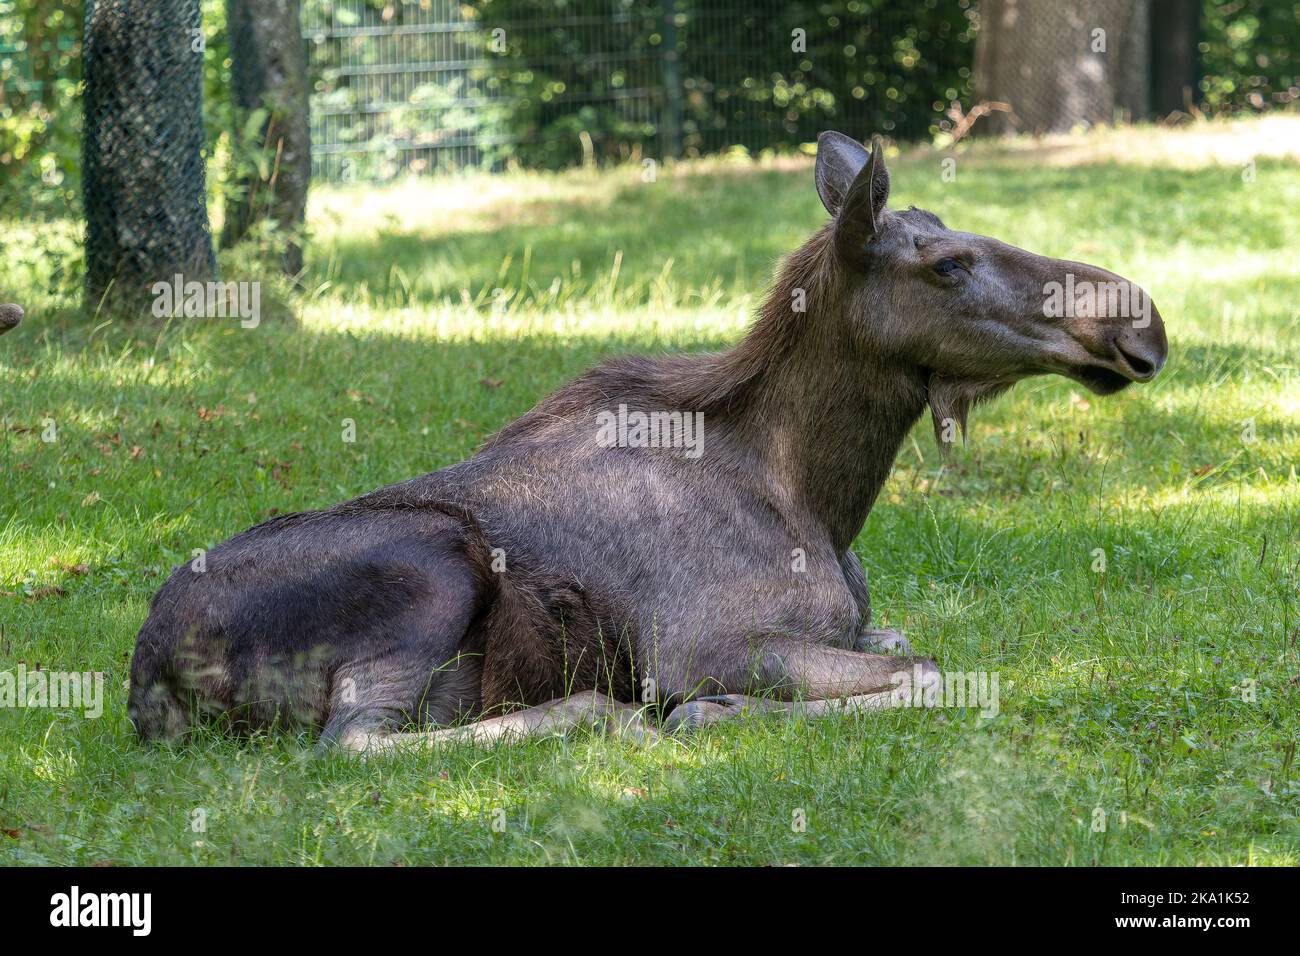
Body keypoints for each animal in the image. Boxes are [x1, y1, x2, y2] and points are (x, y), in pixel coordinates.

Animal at [128, 133, 1167, 751]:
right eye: (949, 262)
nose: (1140, 317)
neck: (822, 496)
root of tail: (147, 680)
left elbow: (911, 640)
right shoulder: (704, 642)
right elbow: (933, 672)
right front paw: (710, 711)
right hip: (432, 562)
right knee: (358, 741)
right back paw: (601, 713)